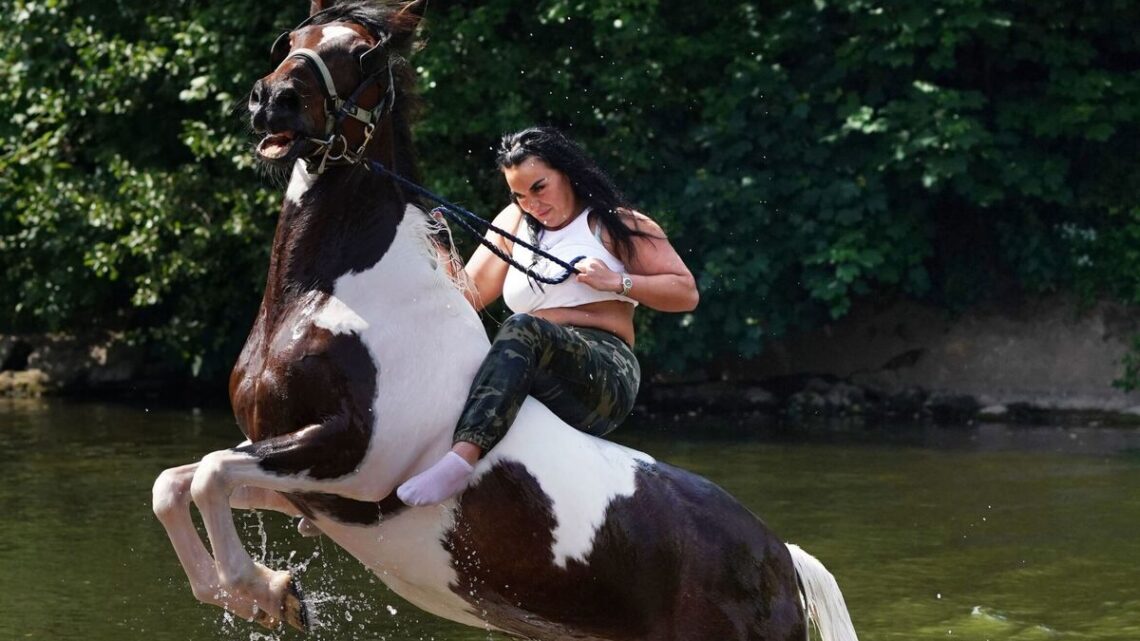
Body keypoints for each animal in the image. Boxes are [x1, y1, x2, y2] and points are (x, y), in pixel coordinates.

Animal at [151, 2, 857, 634]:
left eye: (365, 55)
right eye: (292, 39)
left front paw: (263, 591)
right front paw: (266, 595)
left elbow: (209, 474)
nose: (273, 101)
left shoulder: (351, 457)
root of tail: (782, 561)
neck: (337, 301)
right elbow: (177, 482)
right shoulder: (302, 482)